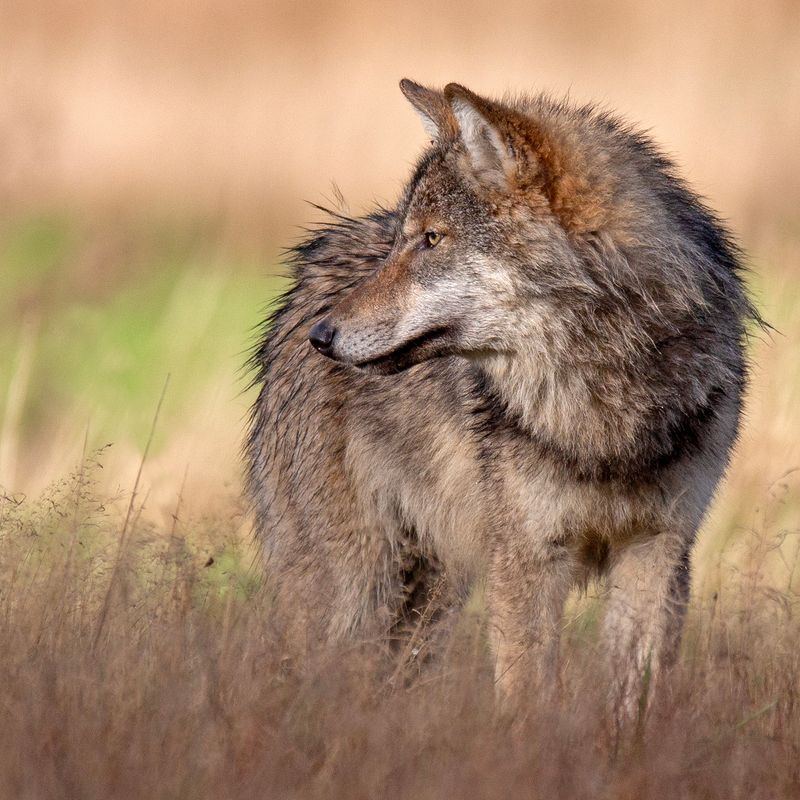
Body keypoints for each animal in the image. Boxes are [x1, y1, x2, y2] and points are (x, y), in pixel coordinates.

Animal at [246, 80, 758, 714]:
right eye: (406, 241)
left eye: (431, 239)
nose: (322, 336)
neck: (601, 414)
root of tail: (305, 275)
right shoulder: (527, 563)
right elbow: (527, 704)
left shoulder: (658, 551)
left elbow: (630, 704)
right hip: (352, 587)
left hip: (431, 595)